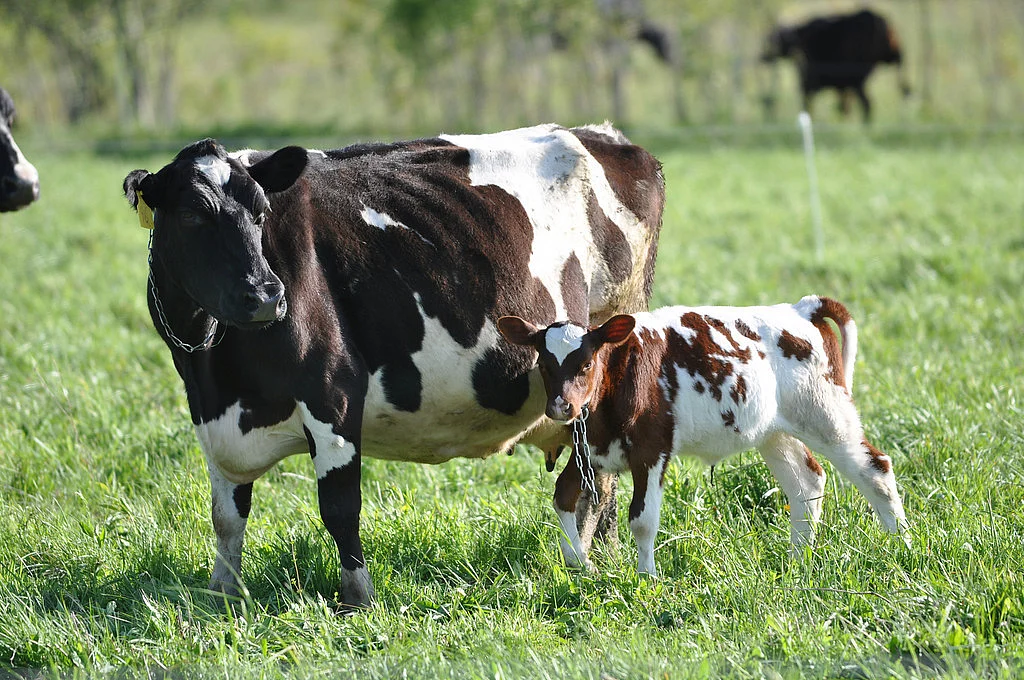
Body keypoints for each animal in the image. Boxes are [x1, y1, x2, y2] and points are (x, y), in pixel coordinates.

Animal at [122, 123, 664, 607]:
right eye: (193, 215)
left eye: (261, 213)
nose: (266, 295)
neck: (216, 371)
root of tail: (605, 136)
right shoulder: (212, 419)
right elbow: (226, 515)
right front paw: (223, 593)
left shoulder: (333, 396)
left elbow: (340, 507)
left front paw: (357, 598)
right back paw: (599, 558)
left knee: (592, 484)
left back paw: (589, 562)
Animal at [497, 296, 910, 576]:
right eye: (544, 364)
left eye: (586, 363)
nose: (561, 407)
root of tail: (800, 309)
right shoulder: (590, 449)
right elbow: (564, 495)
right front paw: (582, 567)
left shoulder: (652, 449)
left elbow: (642, 519)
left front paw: (646, 578)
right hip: (773, 431)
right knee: (806, 481)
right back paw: (798, 561)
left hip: (826, 413)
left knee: (875, 469)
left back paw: (901, 546)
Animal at [761, 9, 911, 122]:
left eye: (773, 40)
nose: (762, 56)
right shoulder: (840, 88)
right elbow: (842, 108)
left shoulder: (809, 83)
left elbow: (809, 106)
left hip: (858, 79)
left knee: (867, 103)